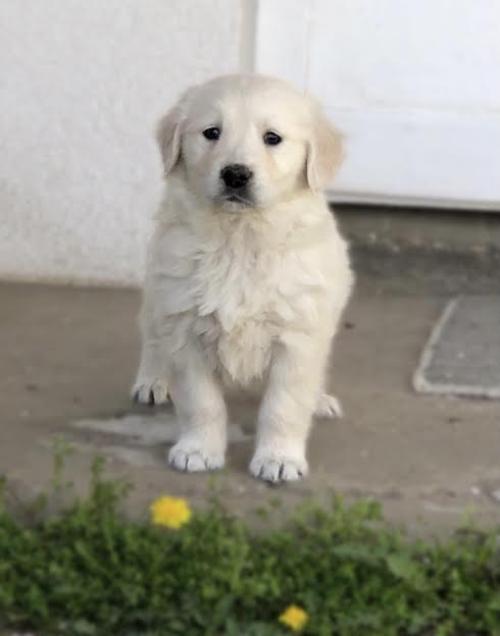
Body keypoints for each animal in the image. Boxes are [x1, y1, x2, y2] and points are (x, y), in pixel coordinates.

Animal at [131, 73, 354, 482]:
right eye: (211, 133)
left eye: (272, 138)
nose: (235, 174)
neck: (240, 239)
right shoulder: (184, 328)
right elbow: (202, 403)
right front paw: (198, 450)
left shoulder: (298, 336)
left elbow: (284, 406)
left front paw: (280, 459)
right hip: (157, 295)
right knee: (153, 338)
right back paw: (153, 381)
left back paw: (320, 399)